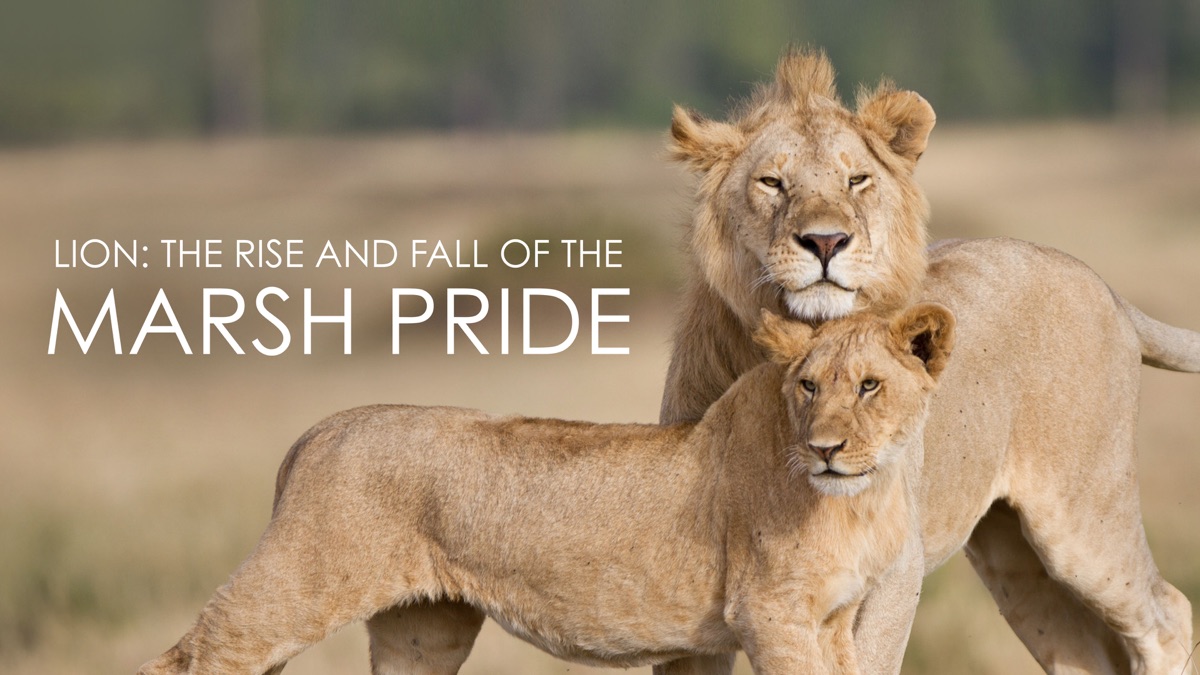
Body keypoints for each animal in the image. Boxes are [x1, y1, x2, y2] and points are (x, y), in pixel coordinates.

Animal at [138, 306, 954, 675]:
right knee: (192, 652)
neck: (863, 497)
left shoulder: (832, 621)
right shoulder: (769, 613)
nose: (824, 448)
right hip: (299, 583)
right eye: (808, 386)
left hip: (423, 627)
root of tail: (323, 426)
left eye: (869, 386)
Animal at [369, 50, 1199, 675]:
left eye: (857, 179)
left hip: (1080, 514)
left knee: (1167, 614)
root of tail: (1103, 283)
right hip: (1012, 554)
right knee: (1085, 650)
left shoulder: (890, 572)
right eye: (773, 182)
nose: (826, 240)